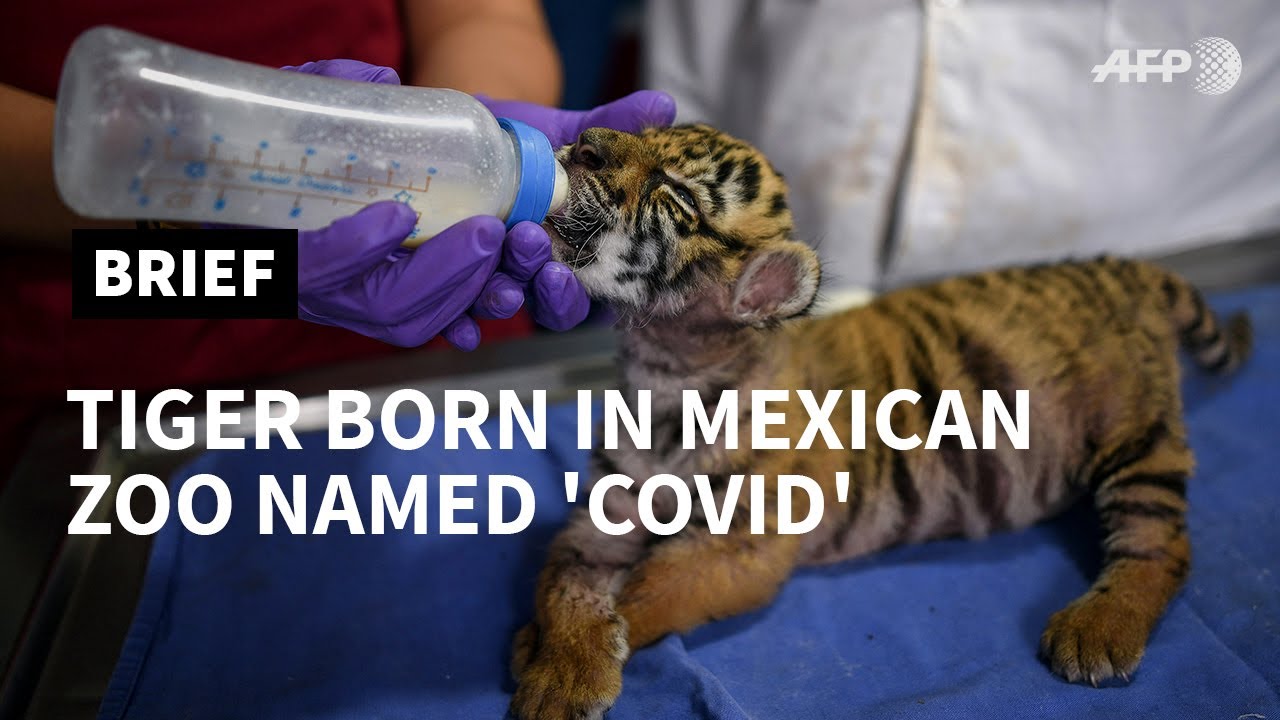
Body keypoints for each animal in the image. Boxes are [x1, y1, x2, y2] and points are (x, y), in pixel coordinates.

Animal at [509, 123, 1253, 720]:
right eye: (639, 132)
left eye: (678, 196)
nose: (587, 140)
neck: (663, 379)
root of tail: (1121, 266)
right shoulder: (598, 520)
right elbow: (565, 586)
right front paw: (556, 663)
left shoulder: (743, 546)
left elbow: (647, 589)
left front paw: (568, 666)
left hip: (1137, 437)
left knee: (1162, 548)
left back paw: (1098, 630)